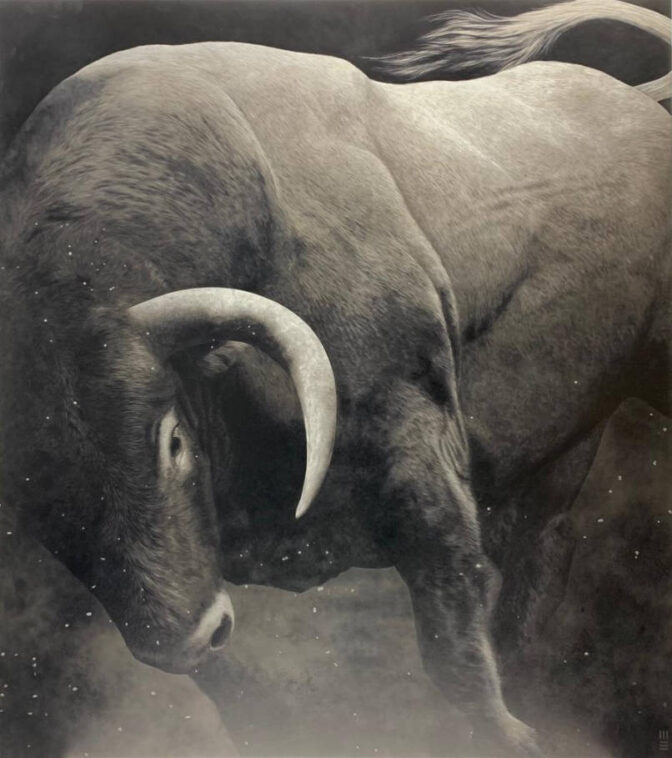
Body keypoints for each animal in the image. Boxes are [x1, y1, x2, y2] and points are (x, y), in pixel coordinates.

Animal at [0, 0, 669, 754]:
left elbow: (453, 644)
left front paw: (516, 735)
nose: (185, 640)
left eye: (172, 441)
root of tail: (640, 102)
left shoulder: (418, 449)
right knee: (543, 548)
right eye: (27, 496)